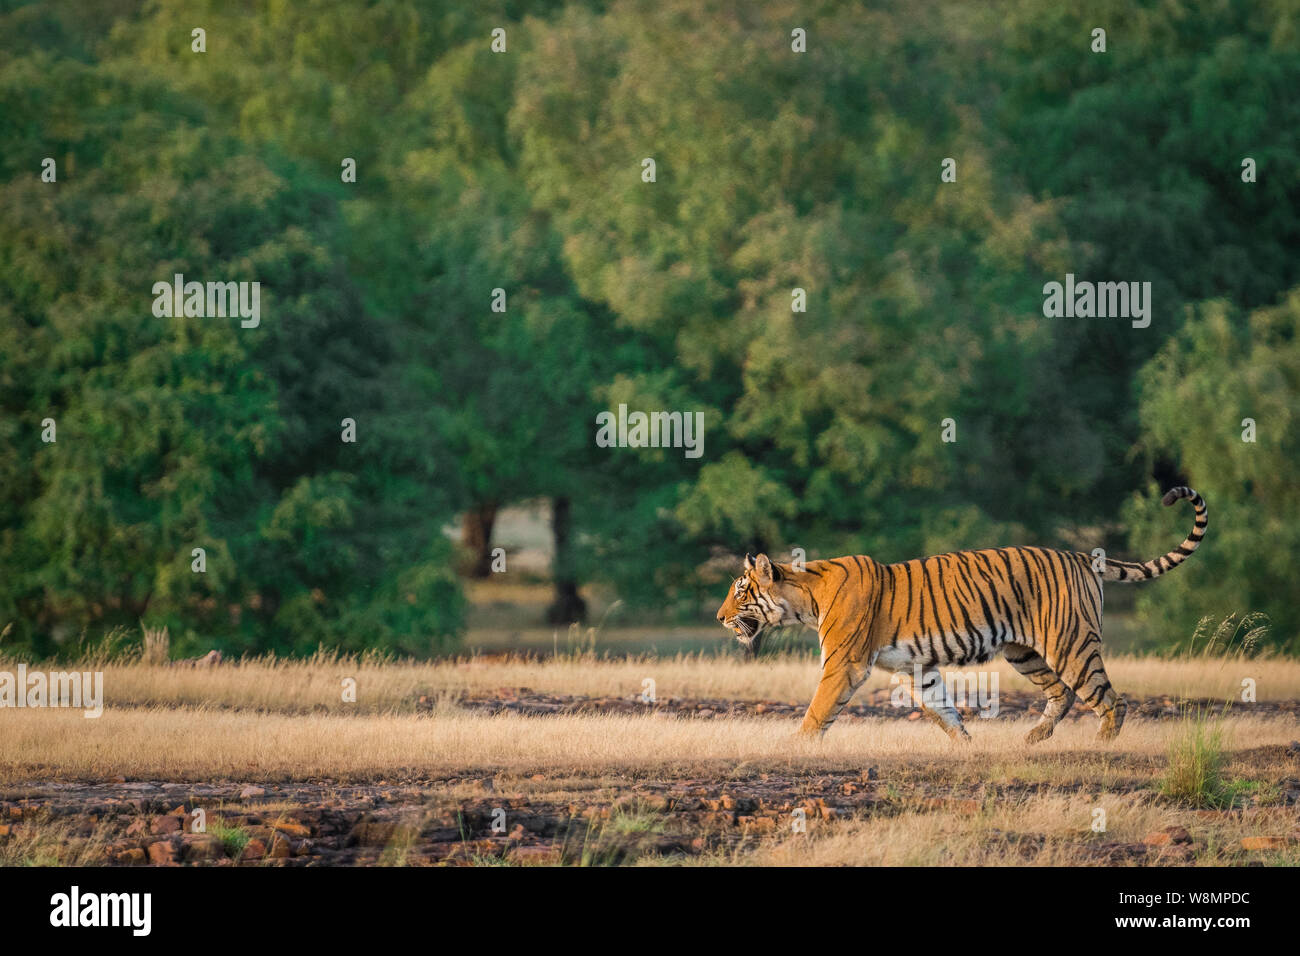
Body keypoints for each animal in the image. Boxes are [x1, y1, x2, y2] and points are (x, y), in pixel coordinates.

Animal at [715, 486, 1207, 744]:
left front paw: (796, 747)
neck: (805, 598)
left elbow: (818, 710)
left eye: (740, 591)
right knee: (1063, 694)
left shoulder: (843, 664)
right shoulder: (916, 669)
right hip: (1025, 652)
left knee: (1109, 700)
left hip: (1070, 644)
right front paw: (968, 748)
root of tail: (1081, 555)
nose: (719, 618)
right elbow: (943, 711)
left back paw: (1100, 747)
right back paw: (1032, 739)